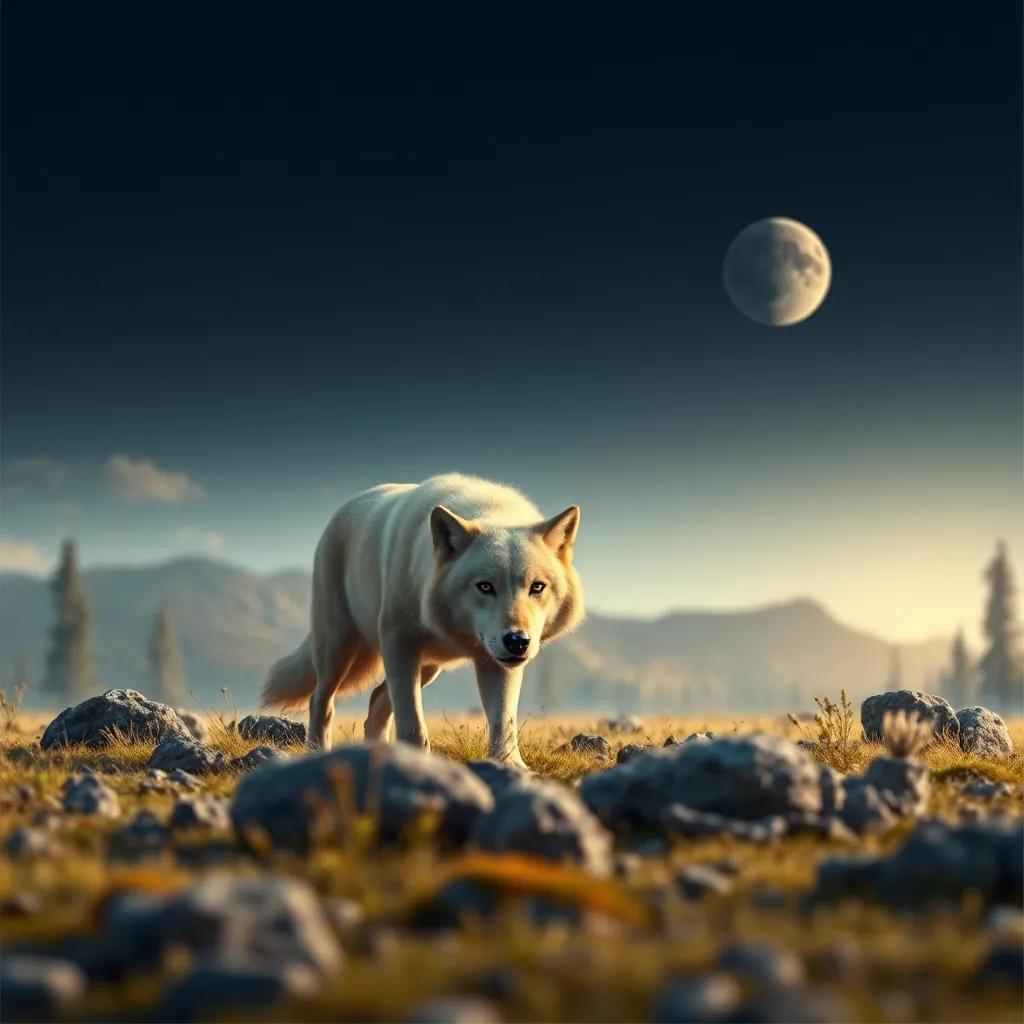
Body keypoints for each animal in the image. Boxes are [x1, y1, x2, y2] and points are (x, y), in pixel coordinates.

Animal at [259, 473, 584, 766]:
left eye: (537, 587)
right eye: (485, 586)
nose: (517, 641)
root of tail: (345, 508)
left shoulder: (496, 663)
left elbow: (503, 723)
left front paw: (512, 767)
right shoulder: (399, 643)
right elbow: (413, 726)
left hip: (427, 667)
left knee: (377, 700)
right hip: (339, 648)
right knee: (320, 701)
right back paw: (317, 753)